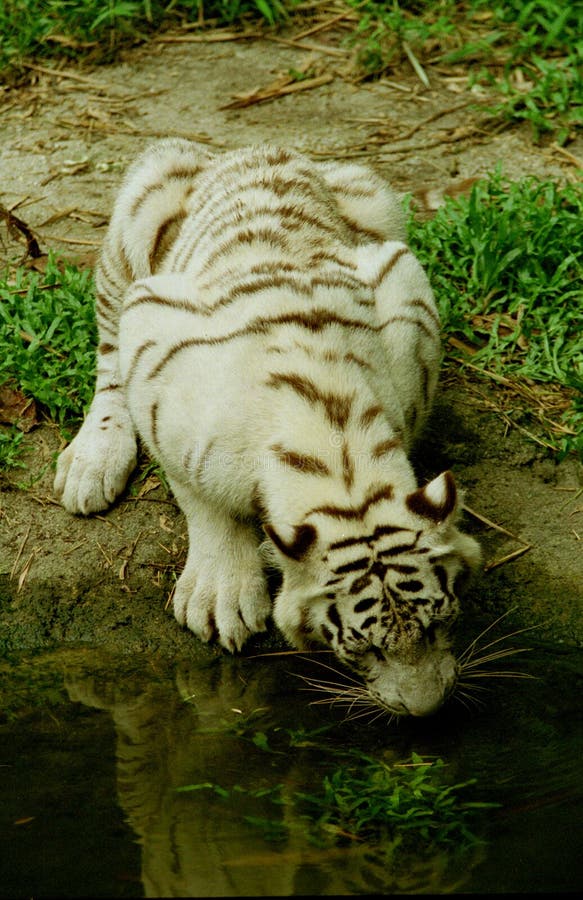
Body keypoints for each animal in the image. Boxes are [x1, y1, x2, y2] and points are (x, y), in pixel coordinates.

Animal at [54, 138, 481, 718]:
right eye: (364, 650)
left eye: (440, 624)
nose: (426, 709)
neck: (334, 441)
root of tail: (251, 150)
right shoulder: (154, 353)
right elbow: (198, 496)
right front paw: (220, 594)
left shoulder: (404, 287)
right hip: (141, 214)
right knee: (106, 353)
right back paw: (91, 464)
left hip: (377, 201)